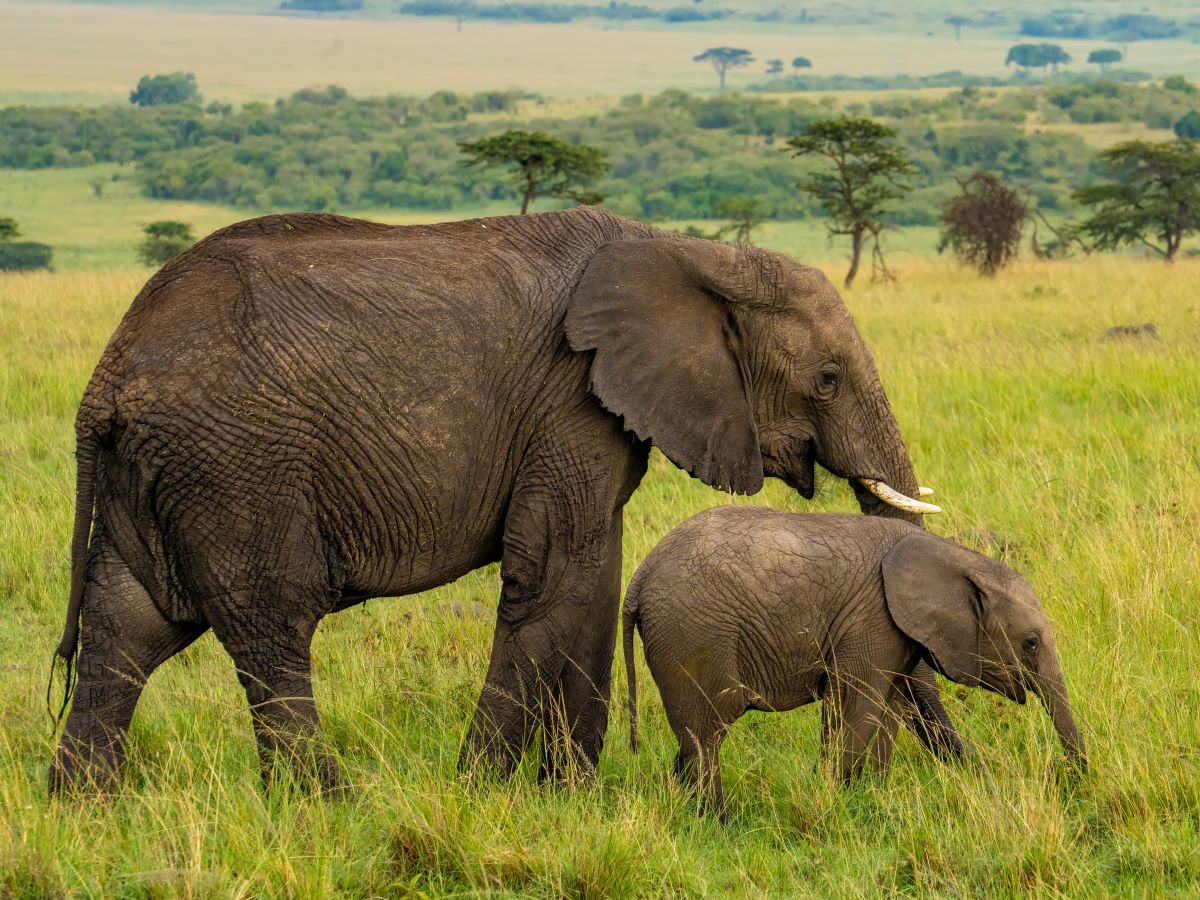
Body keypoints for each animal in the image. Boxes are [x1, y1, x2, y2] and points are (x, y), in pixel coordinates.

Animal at [48, 206, 946, 794]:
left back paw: (84, 807)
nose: (953, 766)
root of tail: (110, 372)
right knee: (269, 624)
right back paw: (326, 807)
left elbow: (594, 571)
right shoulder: (569, 399)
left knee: (126, 627)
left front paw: (565, 794)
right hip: (237, 464)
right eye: (826, 379)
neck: (689, 253)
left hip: (163, 471)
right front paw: (496, 789)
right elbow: (555, 572)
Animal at [622, 507, 1087, 820]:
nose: (1069, 778)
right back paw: (719, 822)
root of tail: (639, 578)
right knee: (707, 734)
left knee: (693, 738)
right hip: (694, 636)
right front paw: (839, 795)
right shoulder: (872, 622)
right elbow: (856, 704)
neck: (954, 556)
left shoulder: (898, 634)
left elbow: (892, 708)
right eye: (1030, 644)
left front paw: (870, 795)